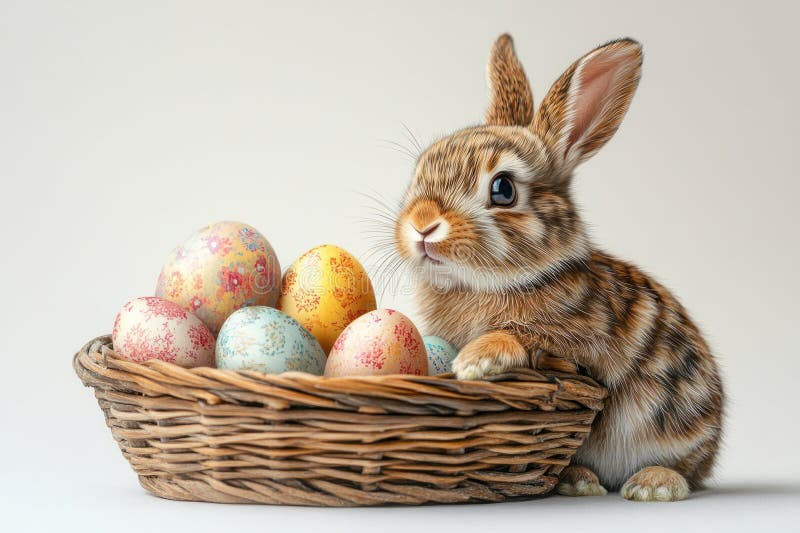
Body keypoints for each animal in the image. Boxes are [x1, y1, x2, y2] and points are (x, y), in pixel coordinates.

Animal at [392, 34, 724, 502]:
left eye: (503, 189)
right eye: (421, 167)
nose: (422, 224)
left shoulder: (581, 346)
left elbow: (525, 339)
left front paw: (476, 362)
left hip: (679, 422)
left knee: (688, 471)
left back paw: (653, 485)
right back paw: (577, 480)